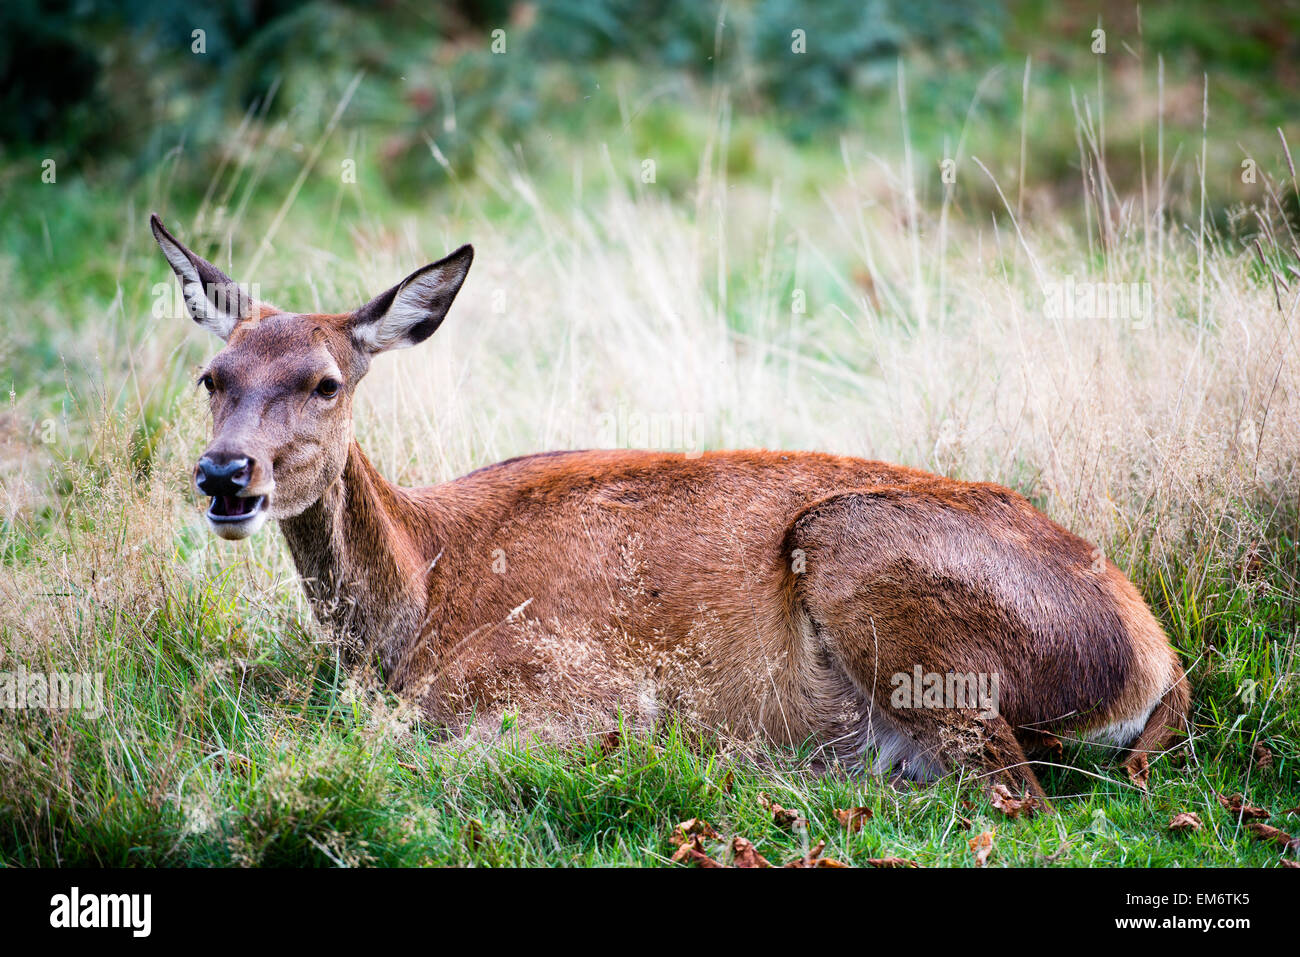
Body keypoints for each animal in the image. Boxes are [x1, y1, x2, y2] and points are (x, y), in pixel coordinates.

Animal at [151, 213, 1188, 803]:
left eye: (325, 382)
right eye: (212, 375)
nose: (226, 475)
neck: (420, 601)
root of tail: (1157, 661)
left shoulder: (585, 685)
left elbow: (407, 753)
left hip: (864, 559)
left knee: (1016, 795)